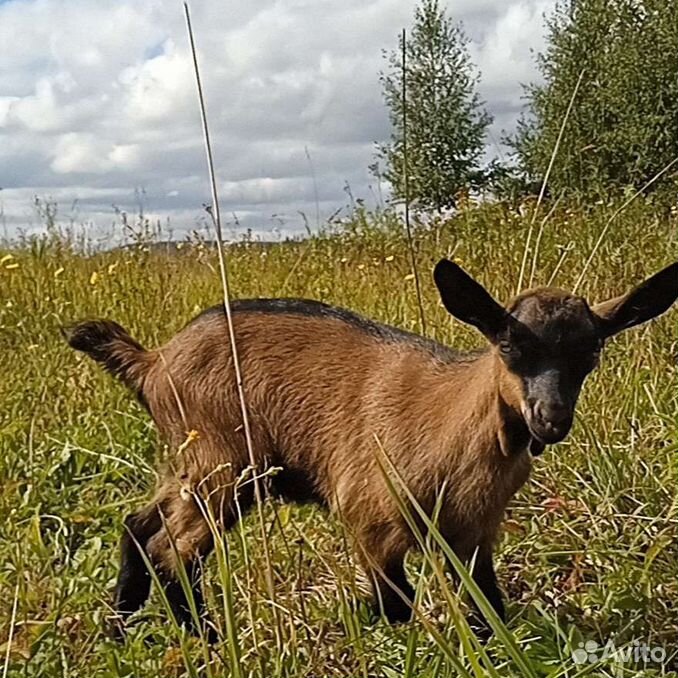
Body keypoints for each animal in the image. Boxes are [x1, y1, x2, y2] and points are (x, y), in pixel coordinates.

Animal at [66, 258, 678, 640]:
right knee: (173, 549)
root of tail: (153, 362)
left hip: (194, 465)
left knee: (138, 527)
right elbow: (396, 606)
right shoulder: (370, 520)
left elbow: (488, 609)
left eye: (591, 352)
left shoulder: (473, 534)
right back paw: (207, 637)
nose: (550, 419)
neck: (453, 429)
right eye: (509, 345)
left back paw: (120, 629)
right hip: (223, 463)